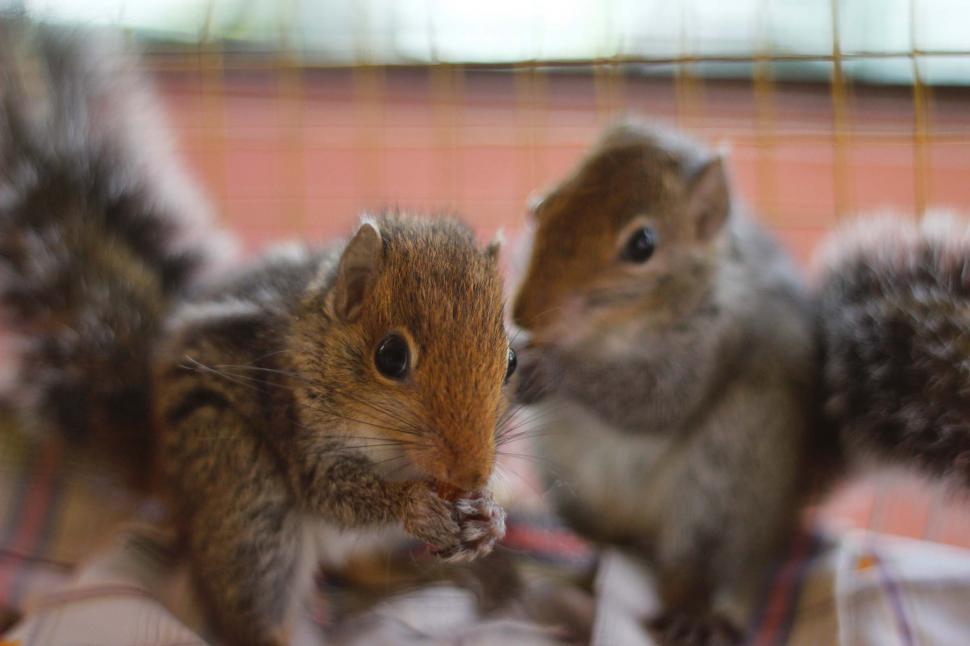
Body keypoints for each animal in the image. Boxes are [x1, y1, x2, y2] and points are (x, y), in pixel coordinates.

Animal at [0, 18, 513, 646]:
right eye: (390, 356)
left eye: (511, 362)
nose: (471, 473)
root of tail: (158, 462)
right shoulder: (295, 424)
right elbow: (334, 492)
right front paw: (415, 505)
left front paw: (489, 516)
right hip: (241, 487)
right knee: (250, 611)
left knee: (360, 564)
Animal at [511, 119, 834, 644]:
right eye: (539, 206)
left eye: (642, 245)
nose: (524, 314)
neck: (614, 333)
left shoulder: (715, 337)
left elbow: (661, 401)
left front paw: (556, 370)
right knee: (604, 540)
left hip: (727, 475)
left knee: (698, 562)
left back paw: (691, 608)